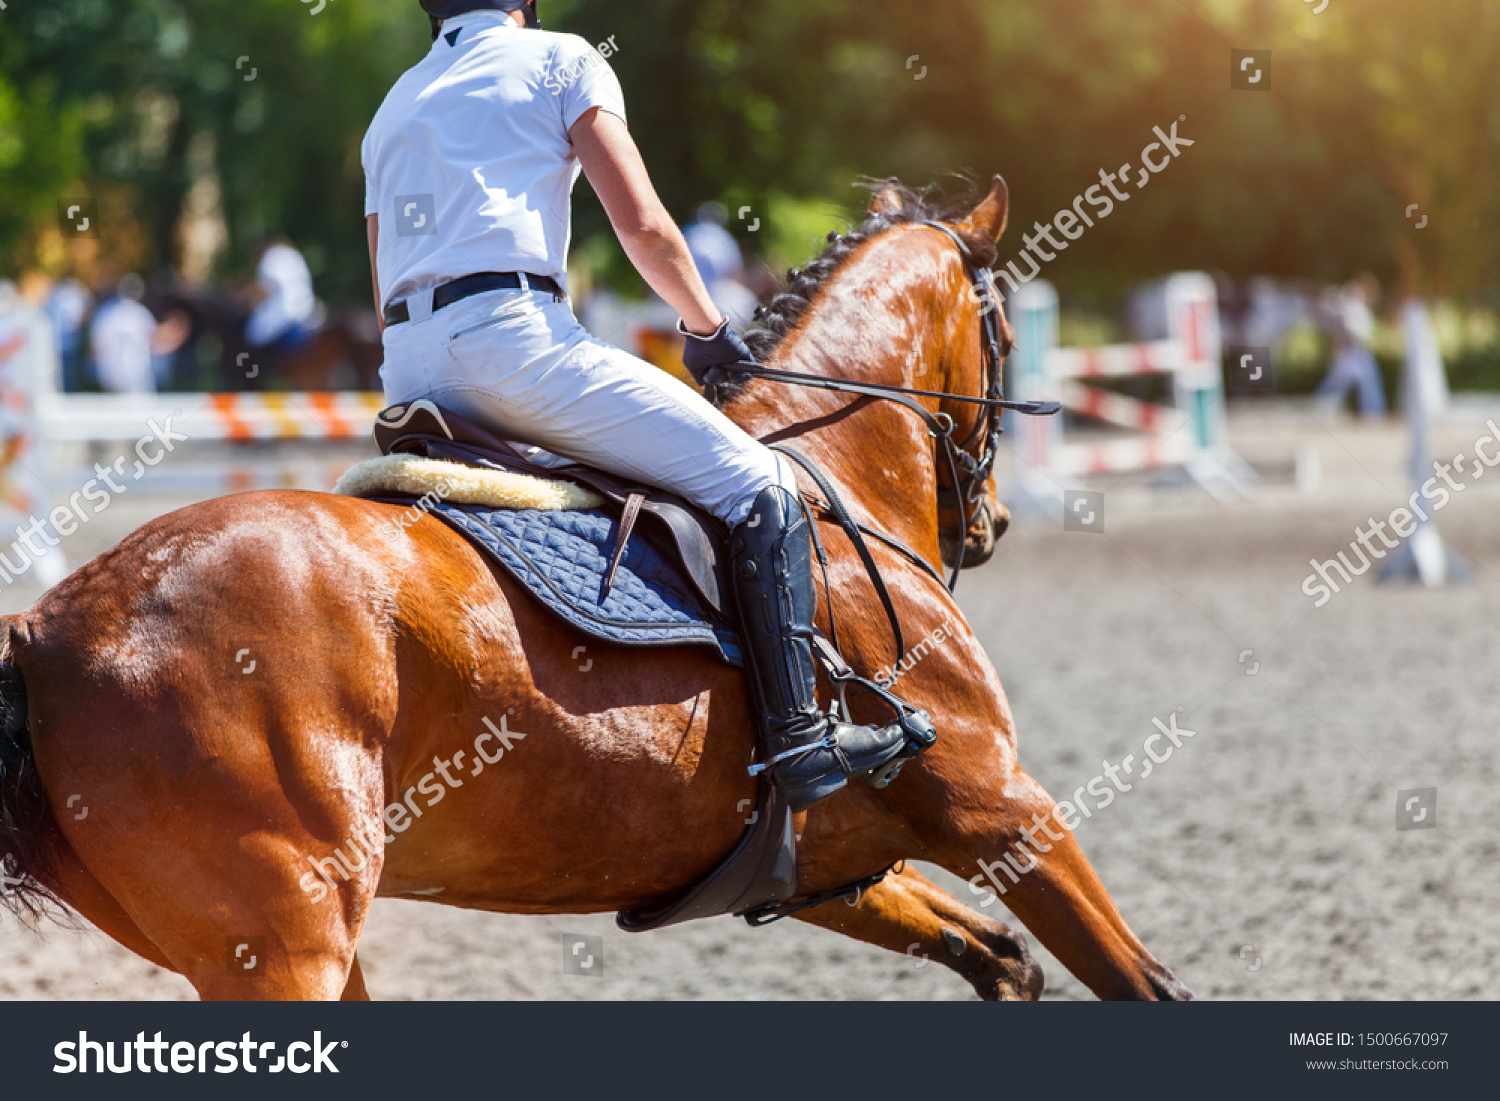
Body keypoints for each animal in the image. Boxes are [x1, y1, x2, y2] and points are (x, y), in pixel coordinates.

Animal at [0, 177, 1191, 1001]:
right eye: (1001, 328)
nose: (987, 527)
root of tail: (47, 627)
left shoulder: (826, 867)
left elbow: (1005, 959)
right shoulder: (1001, 805)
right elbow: (1141, 981)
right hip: (287, 941)